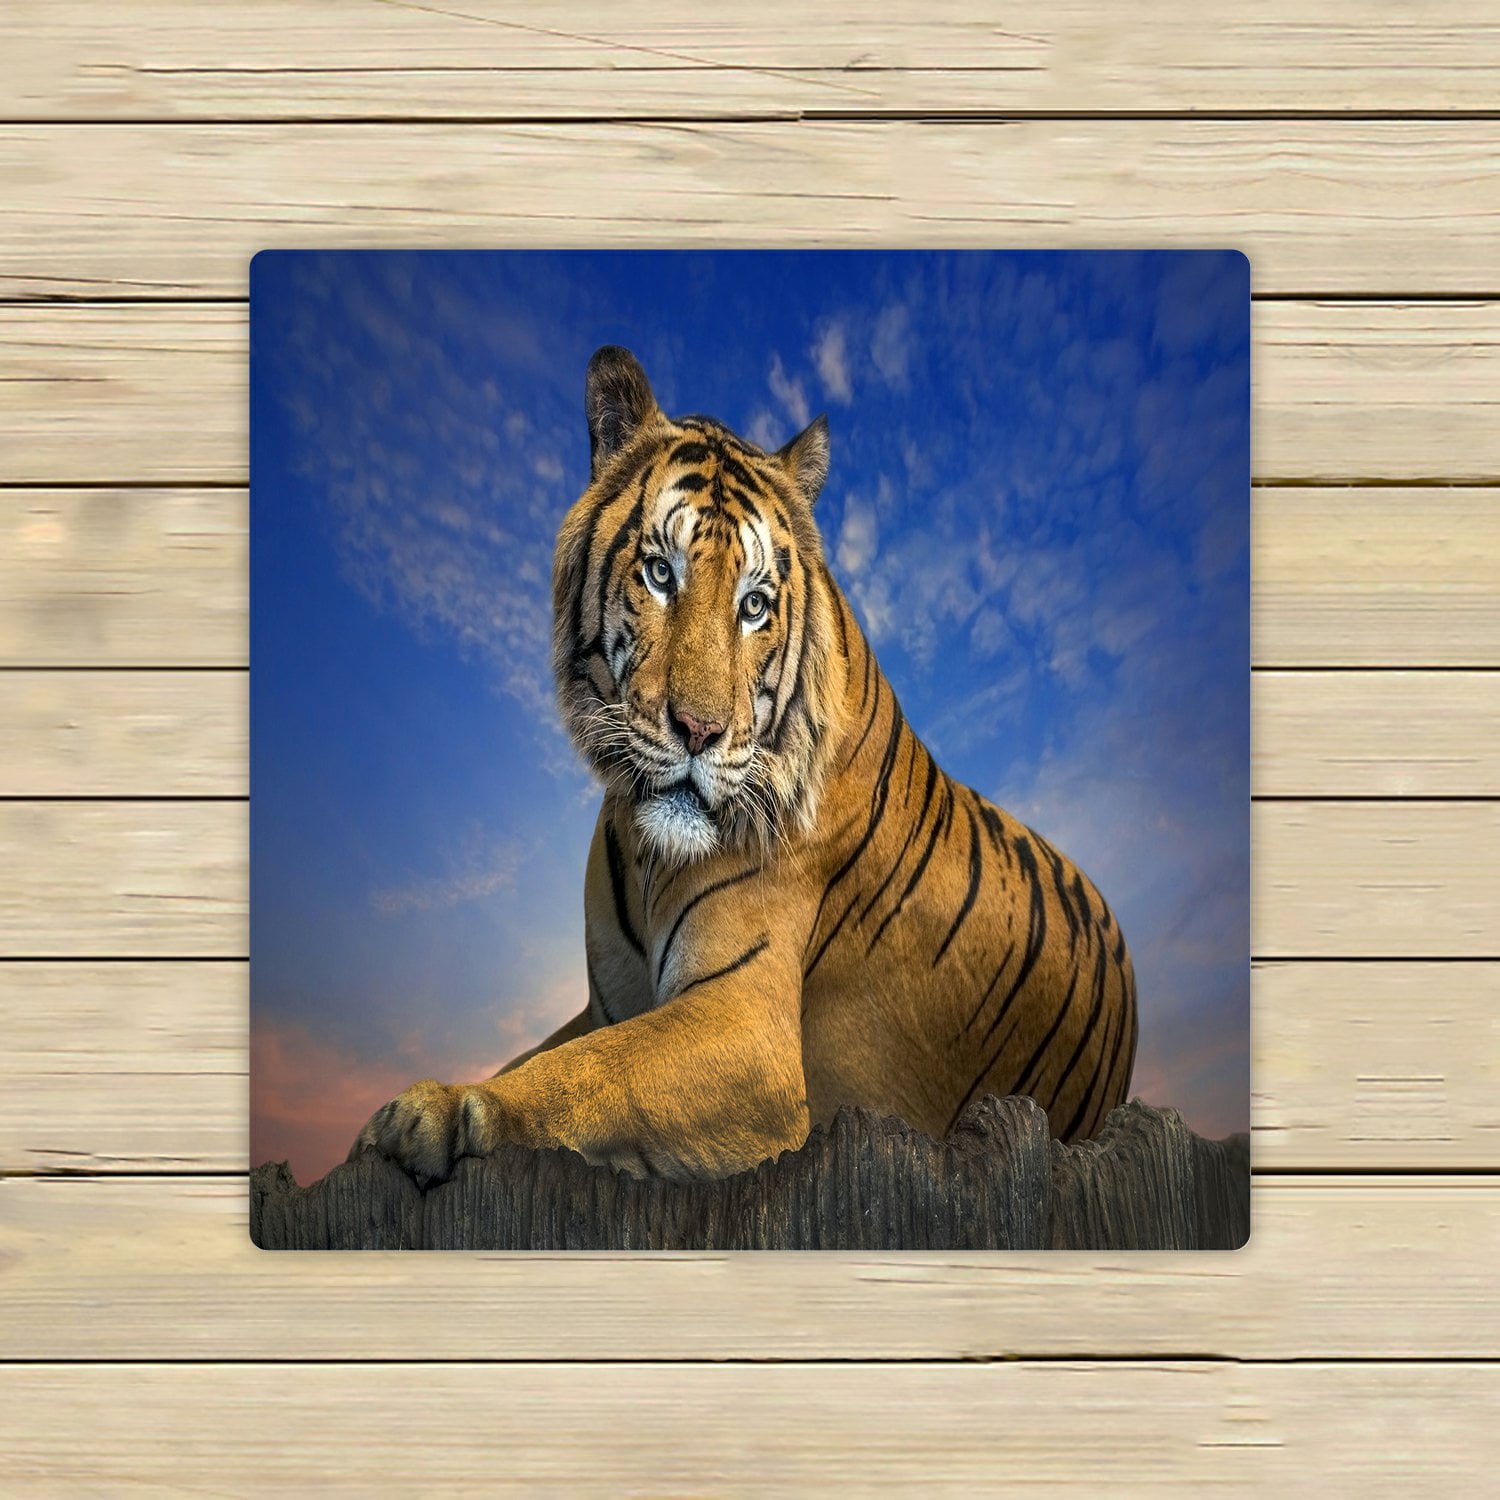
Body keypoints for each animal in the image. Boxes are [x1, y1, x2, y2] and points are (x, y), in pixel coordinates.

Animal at [350, 345, 1138, 1186]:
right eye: (661, 575)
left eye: (755, 605)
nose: (699, 730)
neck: (647, 851)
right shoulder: (605, 1005)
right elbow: (552, 1051)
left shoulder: (744, 1027)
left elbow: (593, 1070)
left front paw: (442, 1110)